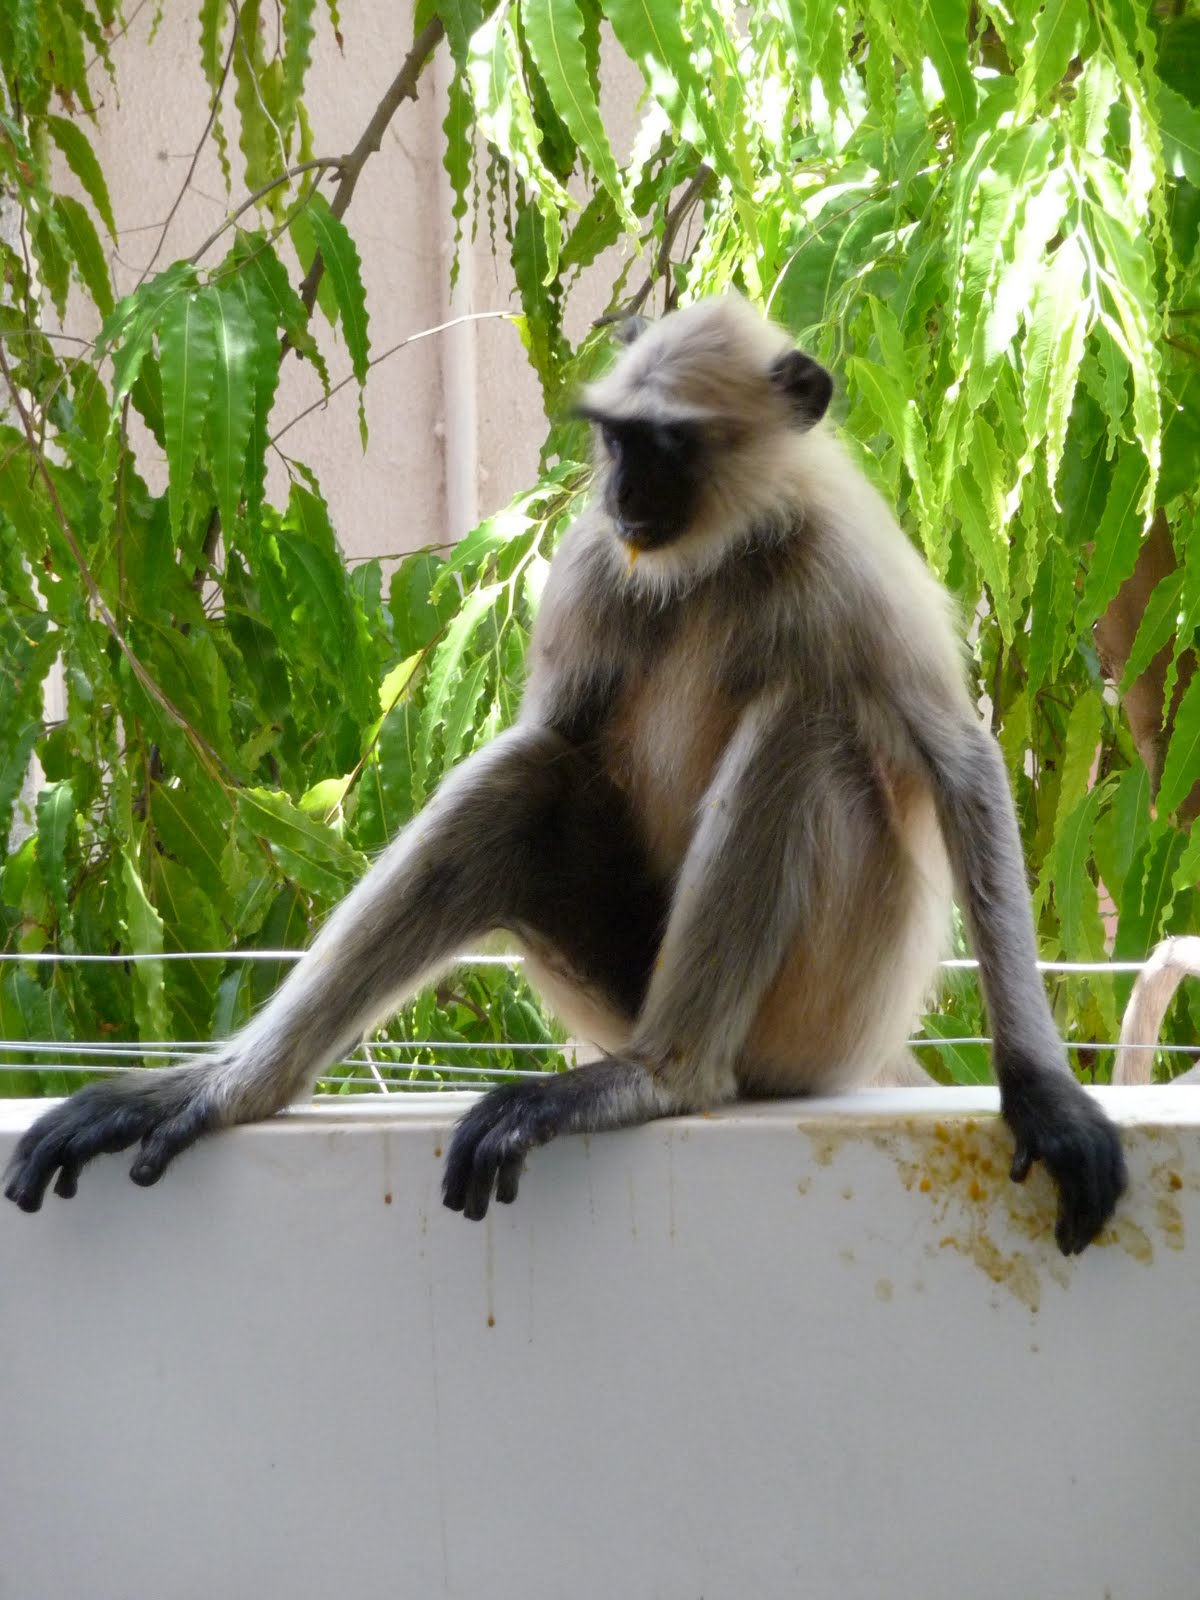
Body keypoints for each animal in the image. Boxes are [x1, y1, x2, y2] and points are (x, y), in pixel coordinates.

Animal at [4, 294, 1126, 1254]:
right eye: (619, 440)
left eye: (667, 447)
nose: (622, 491)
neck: (720, 556)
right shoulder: (596, 562)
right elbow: (548, 740)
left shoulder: (849, 563)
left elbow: (962, 764)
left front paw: (1041, 1093)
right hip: (621, 978)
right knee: (525, 776)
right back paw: (233, 1089)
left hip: (831, 1012)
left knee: (805, 726)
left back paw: (666, 1078)